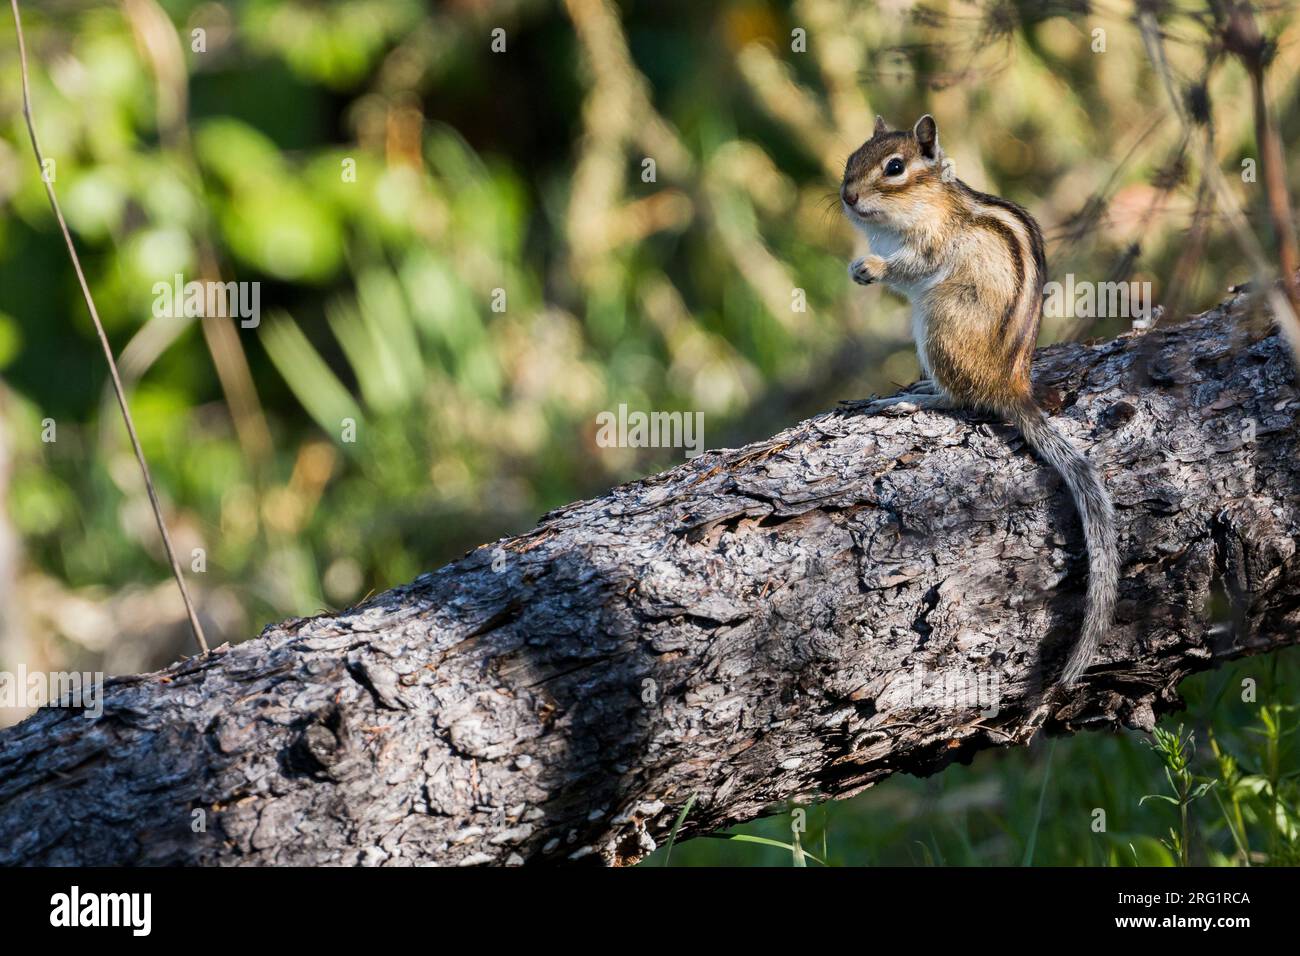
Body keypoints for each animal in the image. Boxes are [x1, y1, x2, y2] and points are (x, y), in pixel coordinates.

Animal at [840, 113, 1117, 687]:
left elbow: (908, 267)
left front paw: (871, 268)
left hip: (938, 321)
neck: (923, 203)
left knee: (958, 398)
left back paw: (912, 402)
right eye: (852, 157)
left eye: (894, 167)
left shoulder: (930, 244)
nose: (847, 196)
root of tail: (1011, 387)